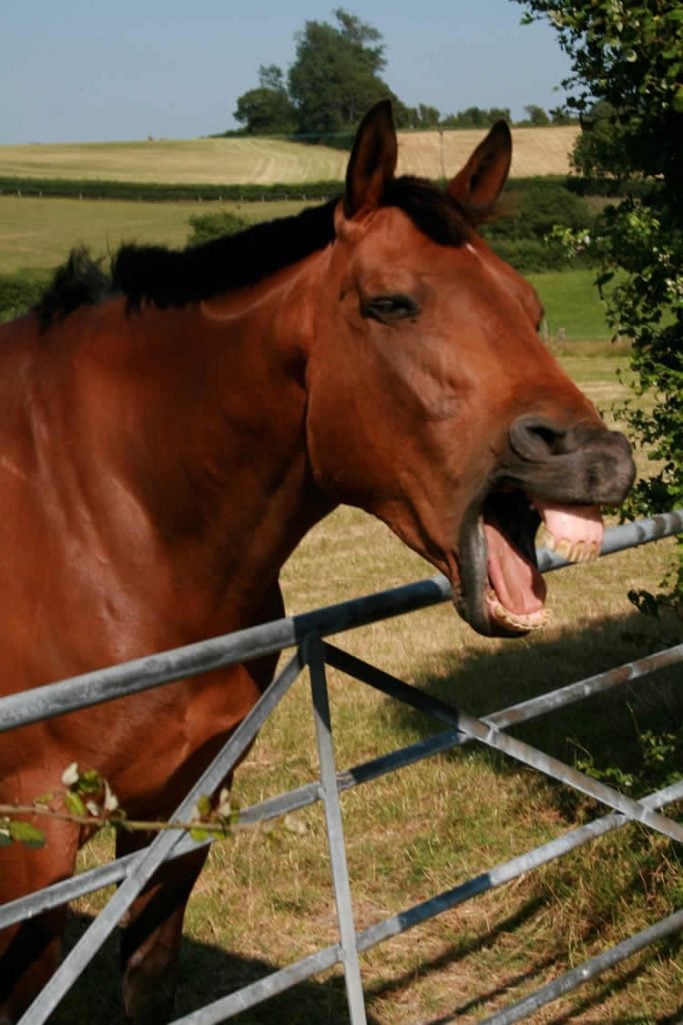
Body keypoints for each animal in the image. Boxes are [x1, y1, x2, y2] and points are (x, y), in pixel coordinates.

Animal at [0, 100, 634, 1024]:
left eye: (528, 305)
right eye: (389, 302)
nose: (597, 458)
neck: (102, 507)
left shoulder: (181, 809)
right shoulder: (32, 841)